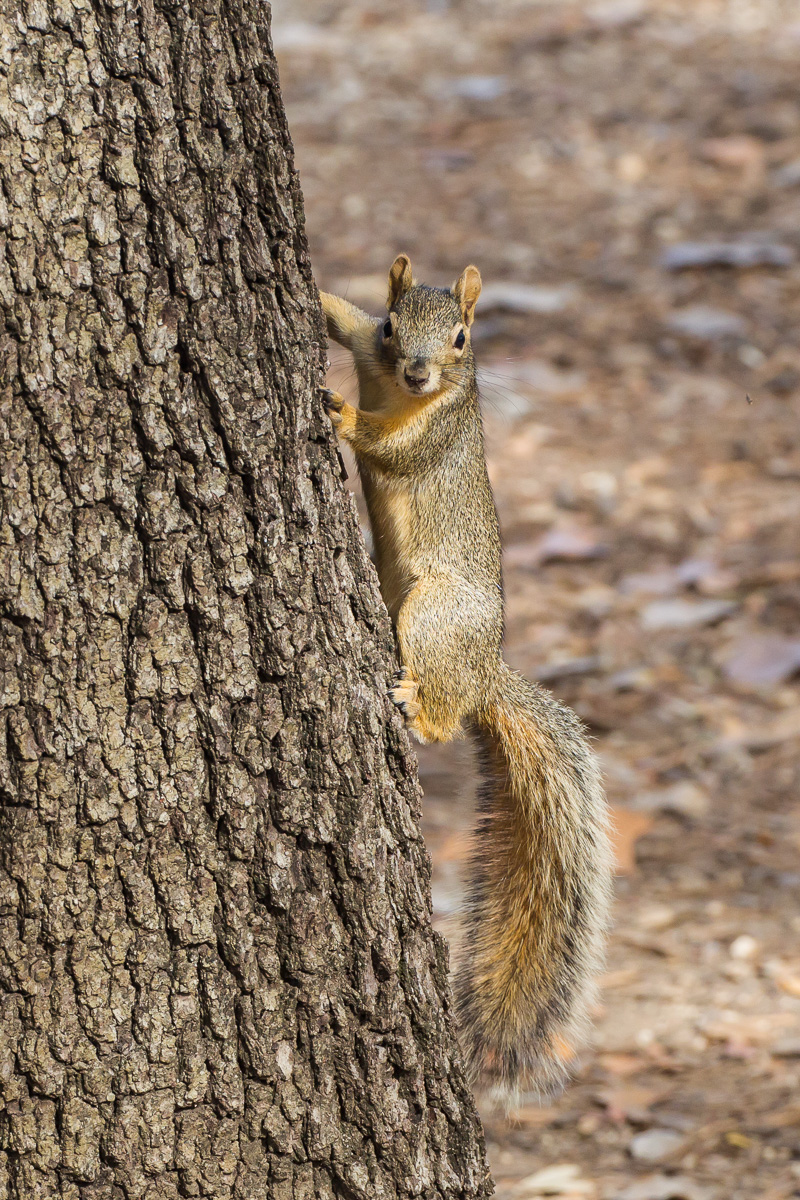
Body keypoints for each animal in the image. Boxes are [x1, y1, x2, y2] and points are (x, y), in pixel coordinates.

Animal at [319, 255, 612, 1098]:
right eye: (395, 325)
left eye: (461, 338)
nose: (418, 372)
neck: (401, 392)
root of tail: (484, 675)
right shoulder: (369, 348)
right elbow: (344, 321)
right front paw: (318, 298)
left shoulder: (436, 431)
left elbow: (393, 451)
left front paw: (341, 416)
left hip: (433, 613)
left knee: (445, 717)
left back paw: (416, 706)